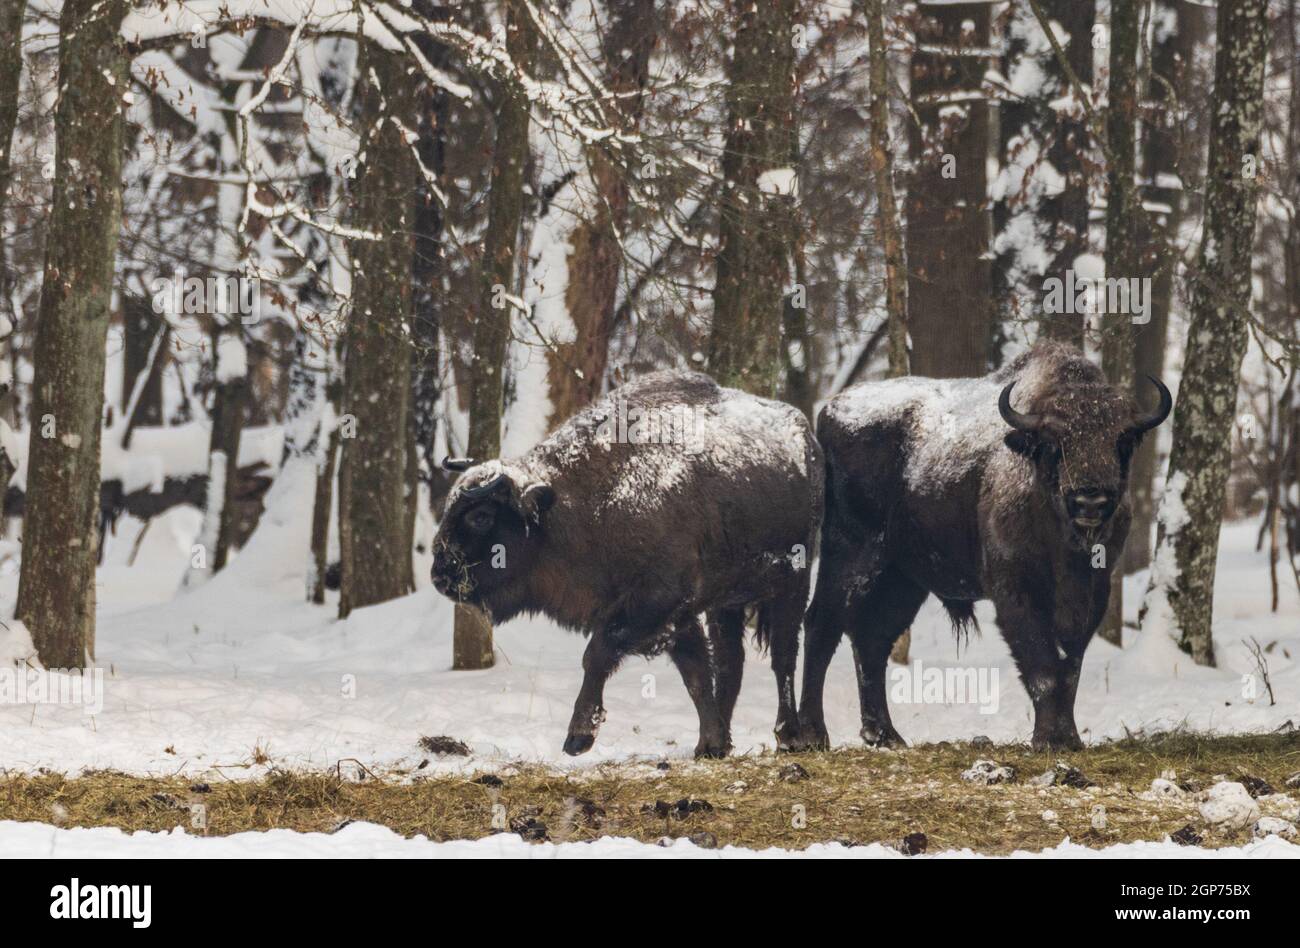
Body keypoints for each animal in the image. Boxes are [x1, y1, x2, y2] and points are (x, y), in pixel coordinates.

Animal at [431, 370, 823, 757]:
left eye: (481, 516)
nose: (439, 574)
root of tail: (806, 437)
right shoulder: (678, 616)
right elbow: (696, 674)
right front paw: (710, 743)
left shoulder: (652, 603)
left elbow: (598, 653)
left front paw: (578, 737)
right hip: (727, 603)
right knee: (732, 661)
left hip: (792, 582)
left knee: (784, 656)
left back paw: (790, 736)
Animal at [796, 341, 1171, 751]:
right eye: (1055, 442)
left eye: (1121, 439)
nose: (1091, 500)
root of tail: (830, 410)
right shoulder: (1016, 592)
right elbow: (1042, 666)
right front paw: (1049, 739)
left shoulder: (1092, 595)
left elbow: (1069, 668)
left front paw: (1068, 738)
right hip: (850, 554)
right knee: (822, 624)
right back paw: (811, 735)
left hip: (903, 578)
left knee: (872, 639)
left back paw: (885, 735)